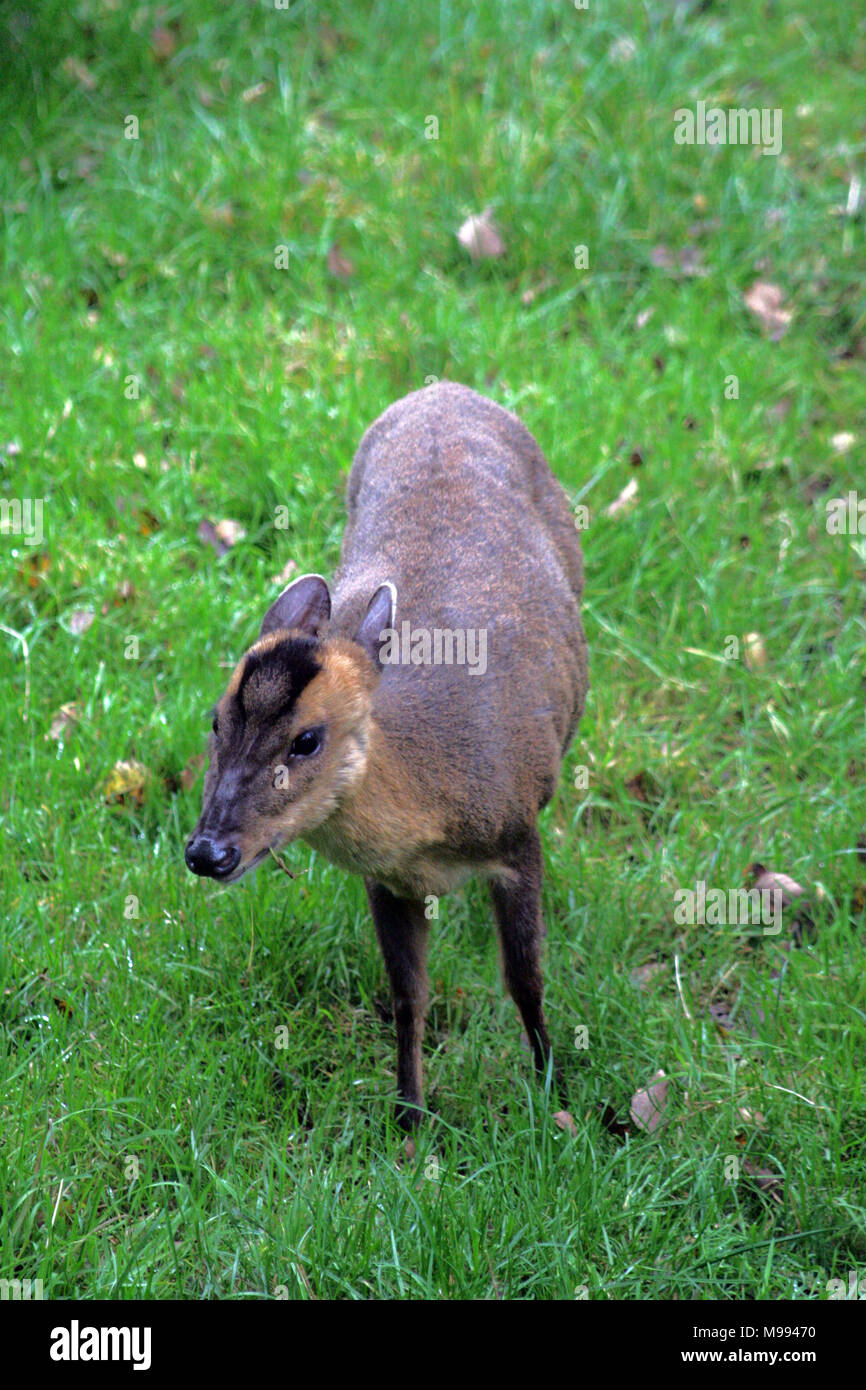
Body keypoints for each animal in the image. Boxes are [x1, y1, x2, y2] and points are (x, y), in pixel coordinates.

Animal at [185, 381, 588, 1129]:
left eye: (307, 739)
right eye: (216, 719)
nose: (208, 852)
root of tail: (446, 388)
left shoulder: (518, 832)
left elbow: (526, 978)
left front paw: (554, 1088)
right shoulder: (387, 880)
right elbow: (408, 996)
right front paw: (409, 1114)